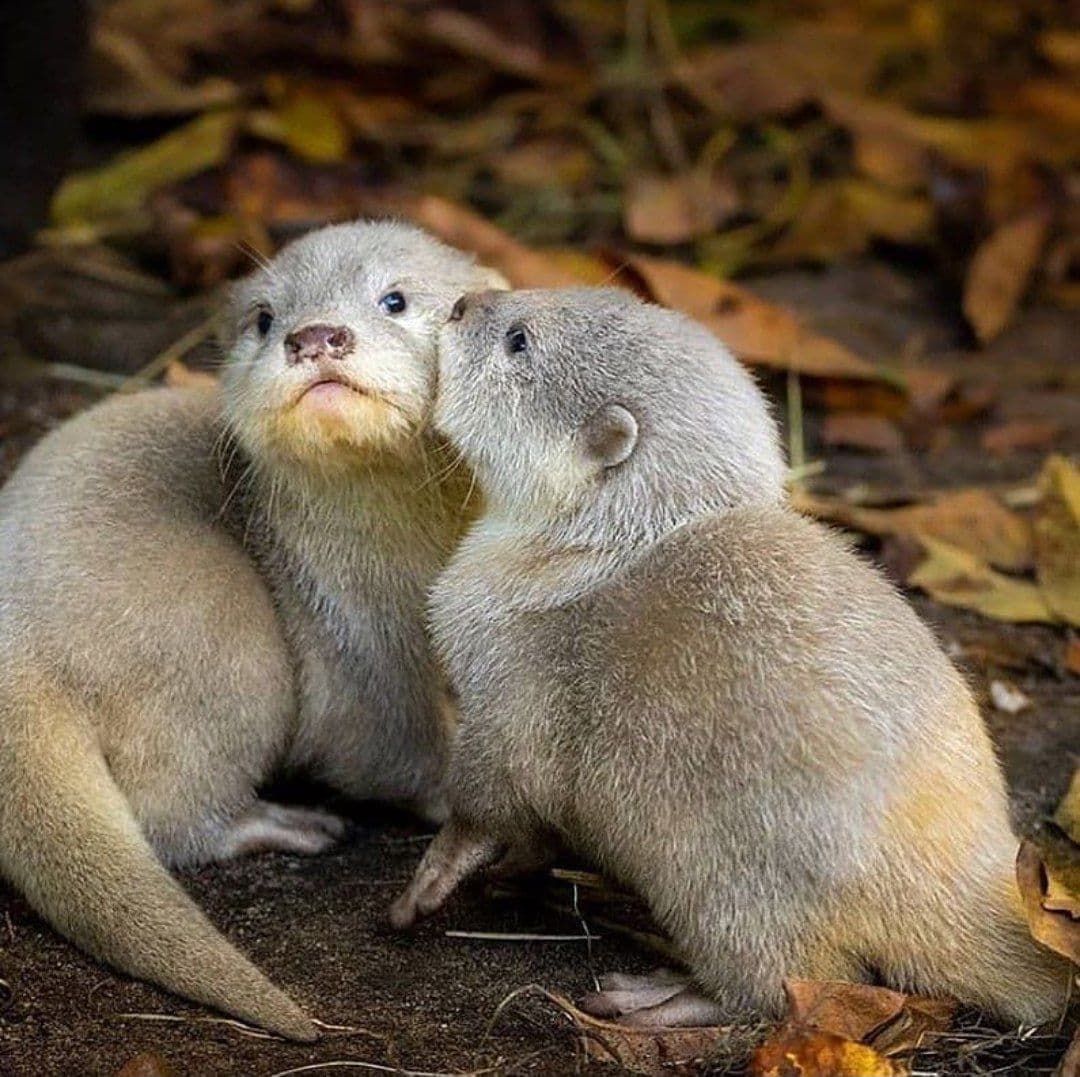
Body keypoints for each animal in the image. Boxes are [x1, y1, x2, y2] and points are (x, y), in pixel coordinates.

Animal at [0, 221, 503, 1040]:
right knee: (171, 813)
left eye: (395, 299)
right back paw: (282, 824)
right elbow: (384, 750)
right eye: (265, 318)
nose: (316, 335)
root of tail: (16, 638)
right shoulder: (356, 645)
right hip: (226, 633)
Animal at [389, 286, 1069, 1028]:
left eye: (518, 340)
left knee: (775, 985)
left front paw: (433, 876)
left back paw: (657, 997)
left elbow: (490, 798)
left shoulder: (513, 685)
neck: (592, 555)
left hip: (730, 895)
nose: (463, 301)